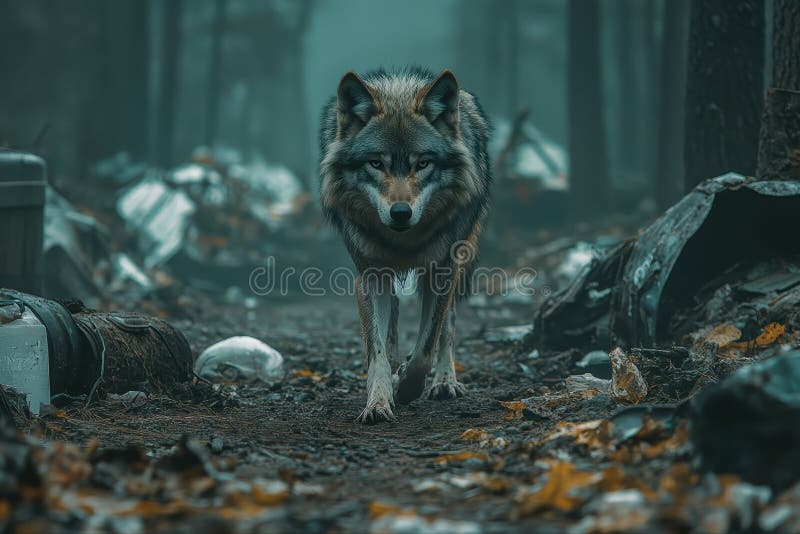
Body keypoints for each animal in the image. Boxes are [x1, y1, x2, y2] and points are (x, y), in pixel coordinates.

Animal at [319, 67, 491, 423]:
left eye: (422, 163)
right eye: (376, 163)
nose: (401, 213)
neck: (403, 241)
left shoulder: (442, 270)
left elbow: (426, 348)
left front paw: (407, 388)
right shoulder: (370, 274)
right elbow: (377, 351)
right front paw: (378, 401)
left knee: (448, 326)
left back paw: (444, 382)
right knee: (394, 319)